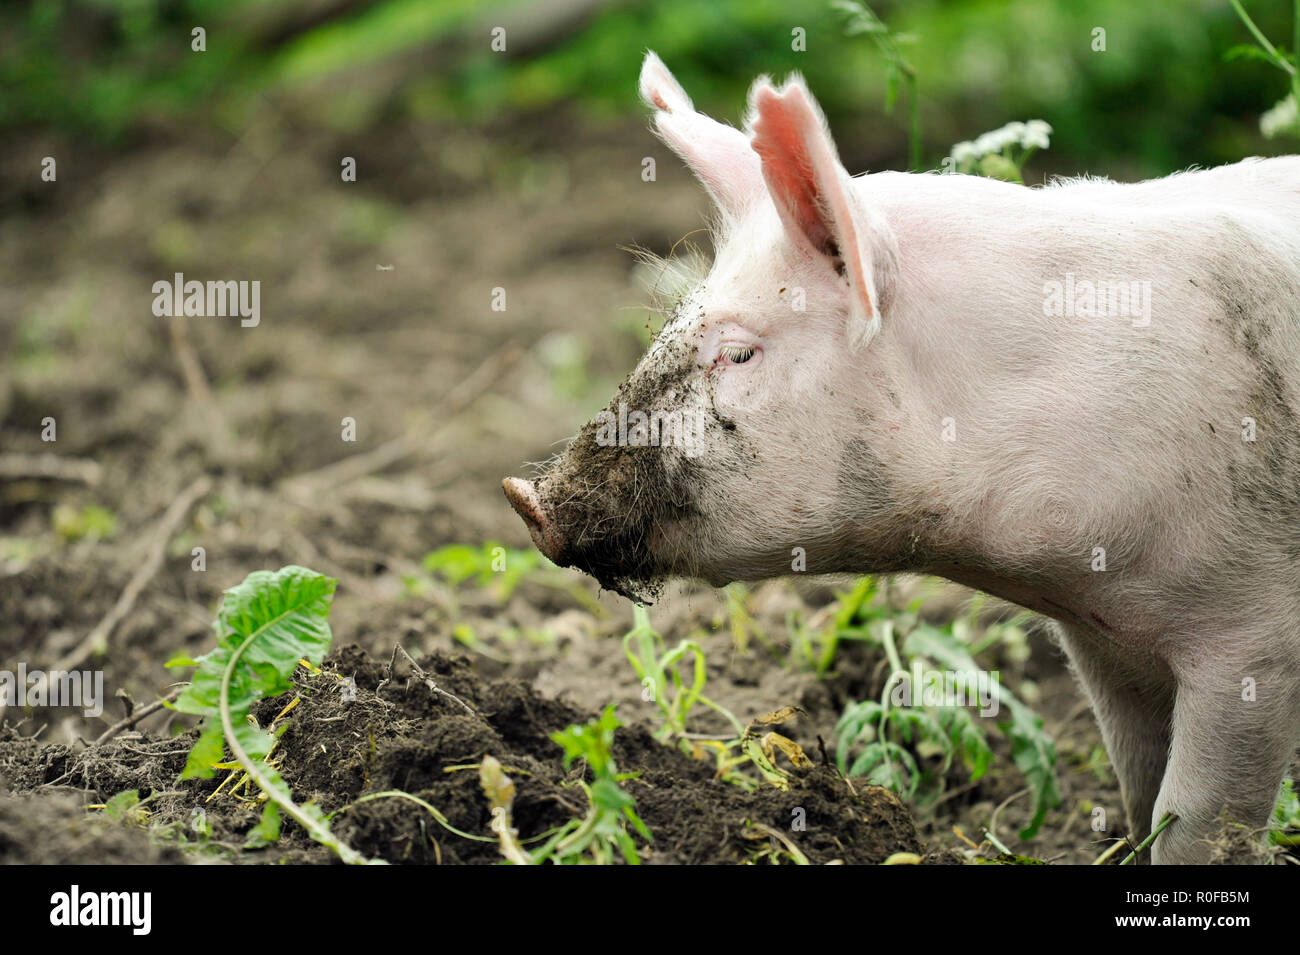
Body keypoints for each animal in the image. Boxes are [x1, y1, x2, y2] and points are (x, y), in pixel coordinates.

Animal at [502, 51, 1300, 864]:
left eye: (739, 352)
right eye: (671, 326)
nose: (527, 499)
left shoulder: (1255, 640)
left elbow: (1196, 820)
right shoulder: (1102, 643)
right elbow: (1140, 790)